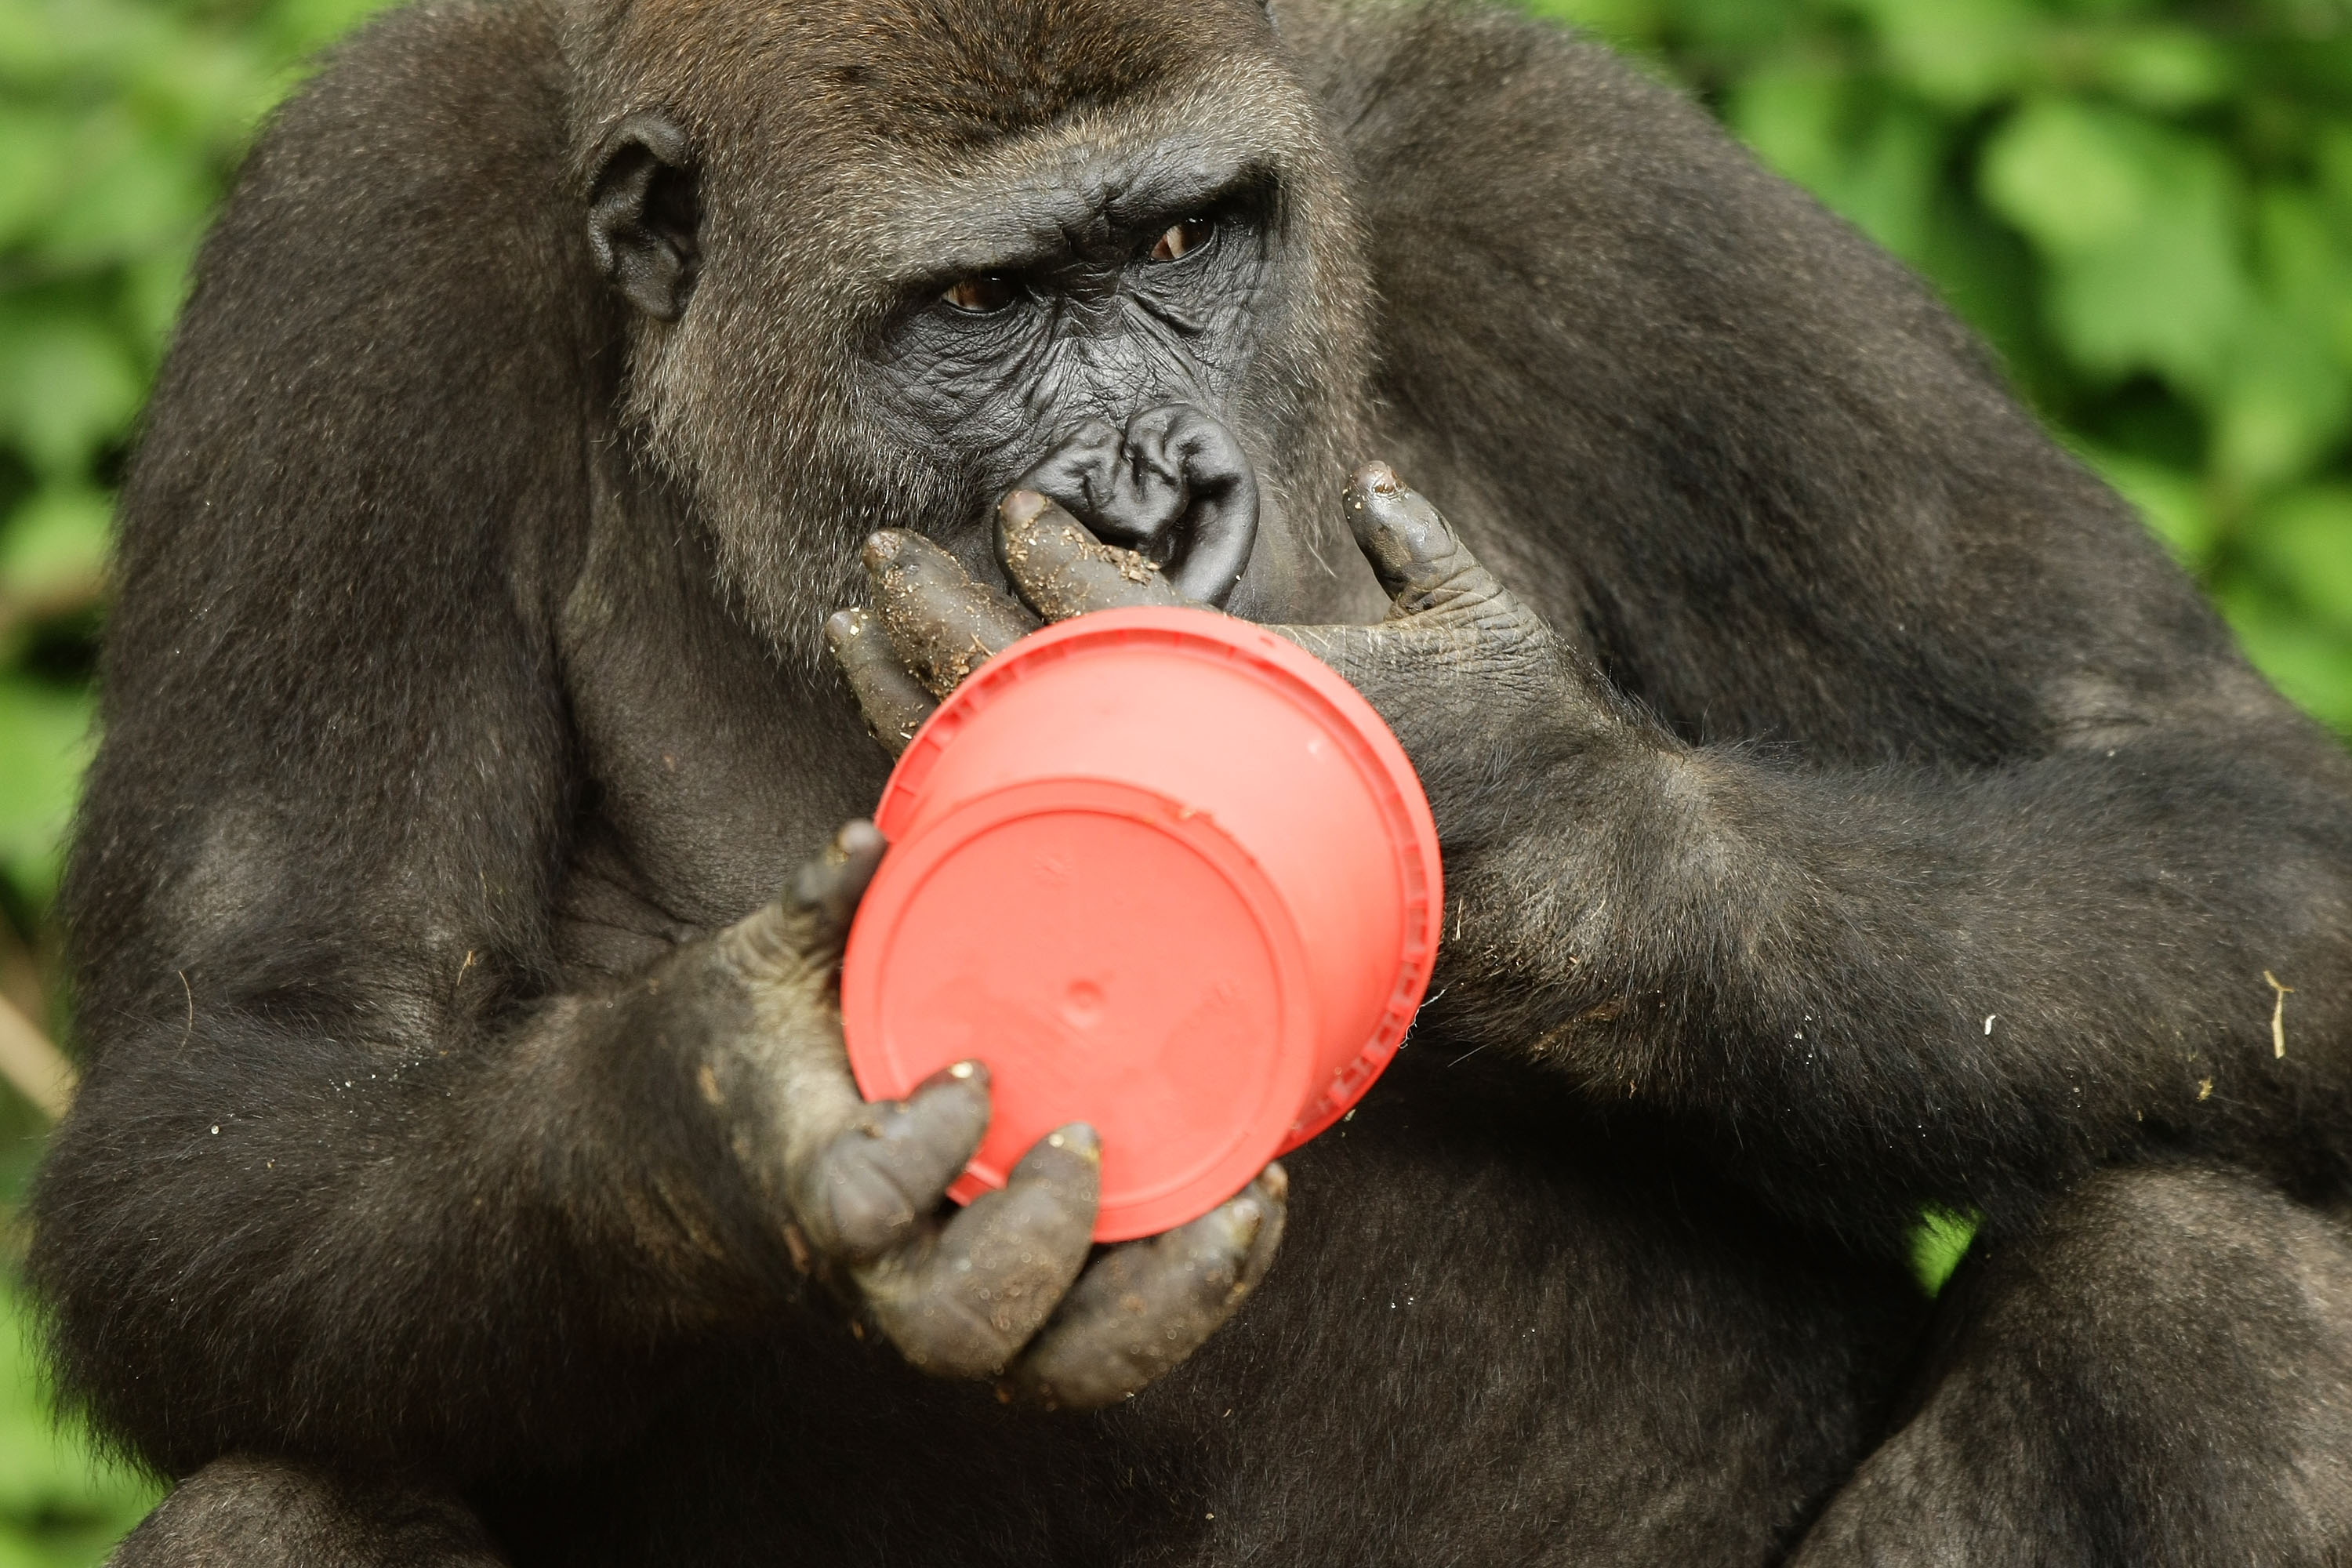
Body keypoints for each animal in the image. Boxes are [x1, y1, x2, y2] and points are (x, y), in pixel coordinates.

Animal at [28, 0, 2352, 1561]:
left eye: (1176, 248)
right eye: (980, 298)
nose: (1157, 505)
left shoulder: (1568, 170)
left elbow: (2217, 795)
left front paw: (1512, 809)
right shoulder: (354, 244)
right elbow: (241, 1076)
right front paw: (711, 1118)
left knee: (2199, 1294)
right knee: (274, 1504)